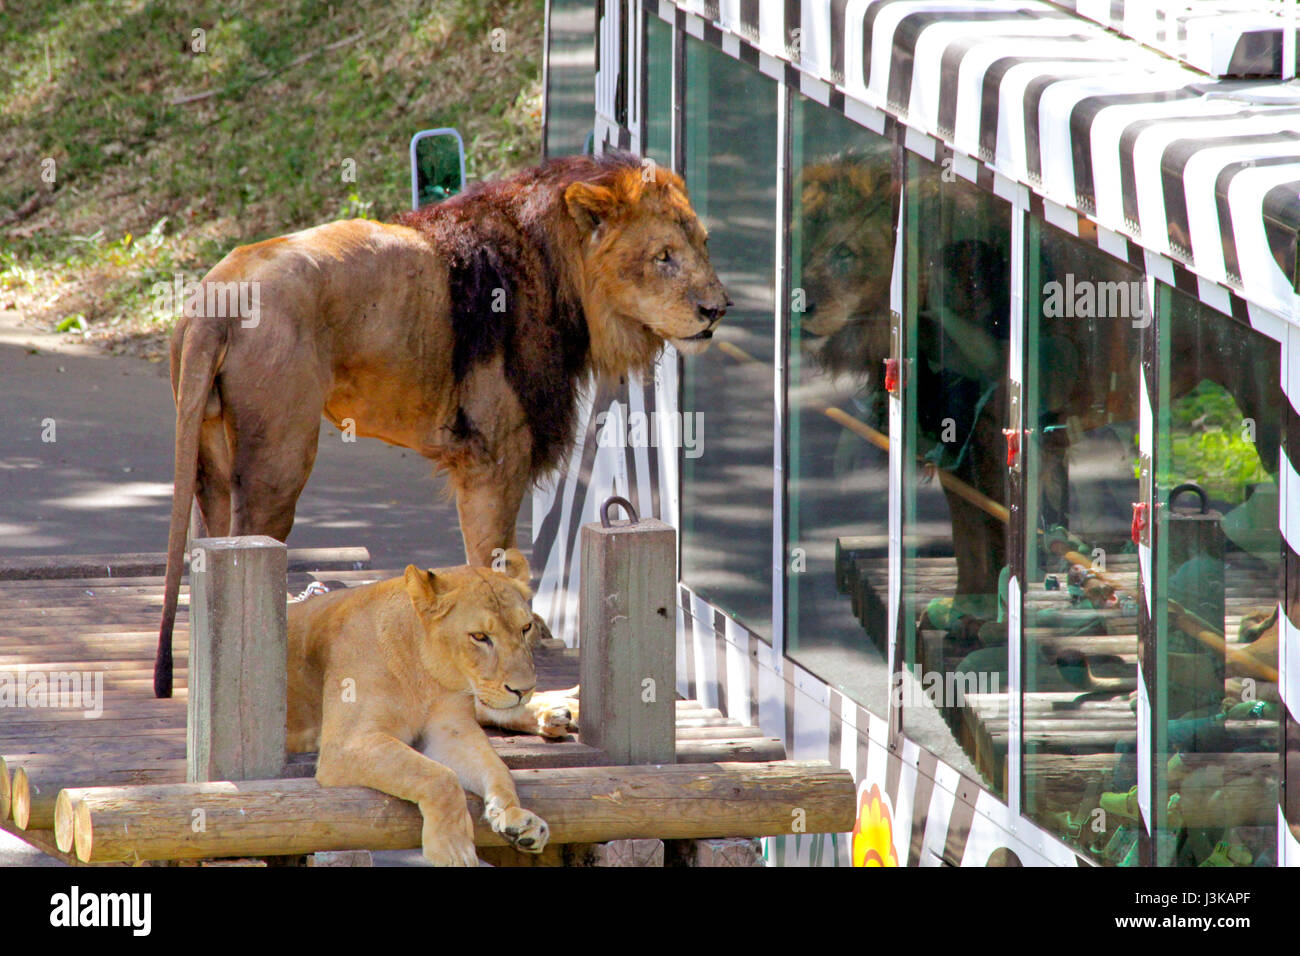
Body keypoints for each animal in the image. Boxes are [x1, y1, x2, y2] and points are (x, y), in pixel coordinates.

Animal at [155, 152, 729, 697]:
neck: (557, 270)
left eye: (704, 245)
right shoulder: (495, 455)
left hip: (210, 457)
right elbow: (493, 557)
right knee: (246, 552)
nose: (718, 309)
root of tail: (216, 300)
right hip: (279, 459)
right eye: (663, 256)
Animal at [287, 548, 565, 865]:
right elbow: (440, 777)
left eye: (526, 627)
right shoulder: (345, 745)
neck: (424, 672)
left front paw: (515, 817)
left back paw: (555, 713)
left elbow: (497, 768)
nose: (524, 689)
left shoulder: (452, 729)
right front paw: (453, 848)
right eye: (479, 637)